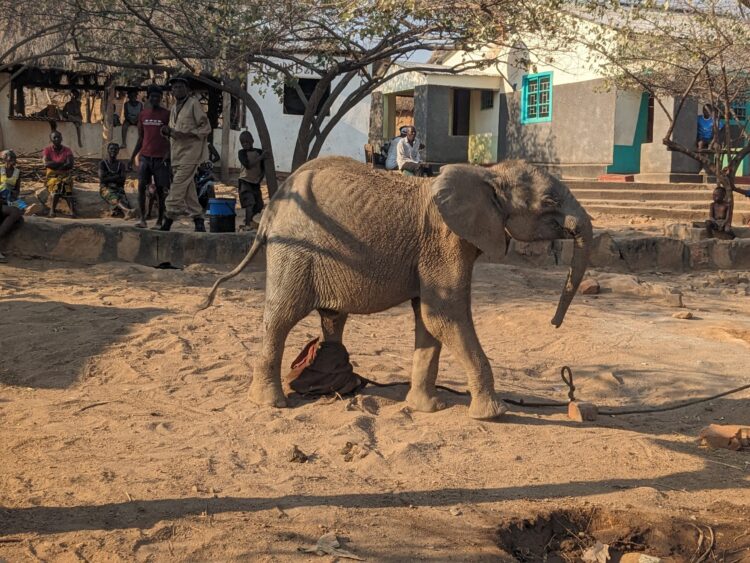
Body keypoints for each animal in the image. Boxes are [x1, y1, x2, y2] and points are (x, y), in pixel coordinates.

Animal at [201, 156, 592, 419]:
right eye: (550, 203)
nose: (554, 323)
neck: (487, 173)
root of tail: (273, 206)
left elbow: (429, 322)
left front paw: (427, 409)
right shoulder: (445, 243)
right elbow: (444, 317)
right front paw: (493, 415)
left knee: (332, 317)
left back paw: (335, 387)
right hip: (297, 248)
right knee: (282, 316)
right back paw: (272, 403)